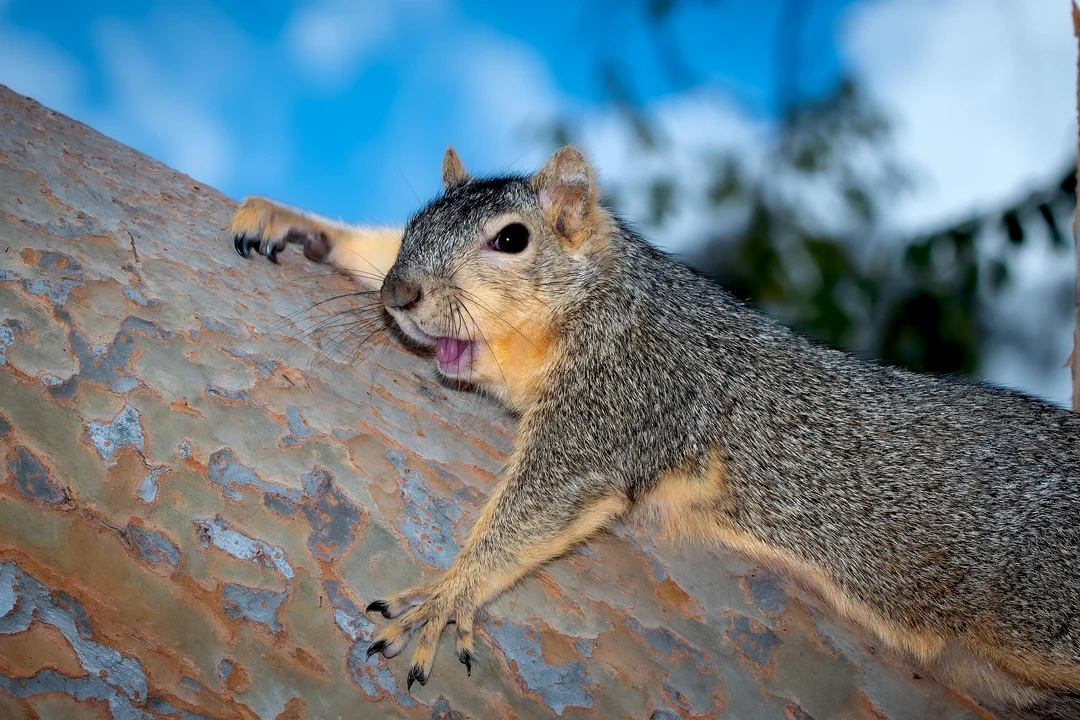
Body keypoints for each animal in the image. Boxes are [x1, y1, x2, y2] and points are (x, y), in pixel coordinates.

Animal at [230, 145, 1080, 717]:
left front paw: (450, 592)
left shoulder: (631, 395)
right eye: (412, 226)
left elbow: (548, 495)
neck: (600, 297)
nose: (400, 295)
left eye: (511, 239)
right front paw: (297, 223)